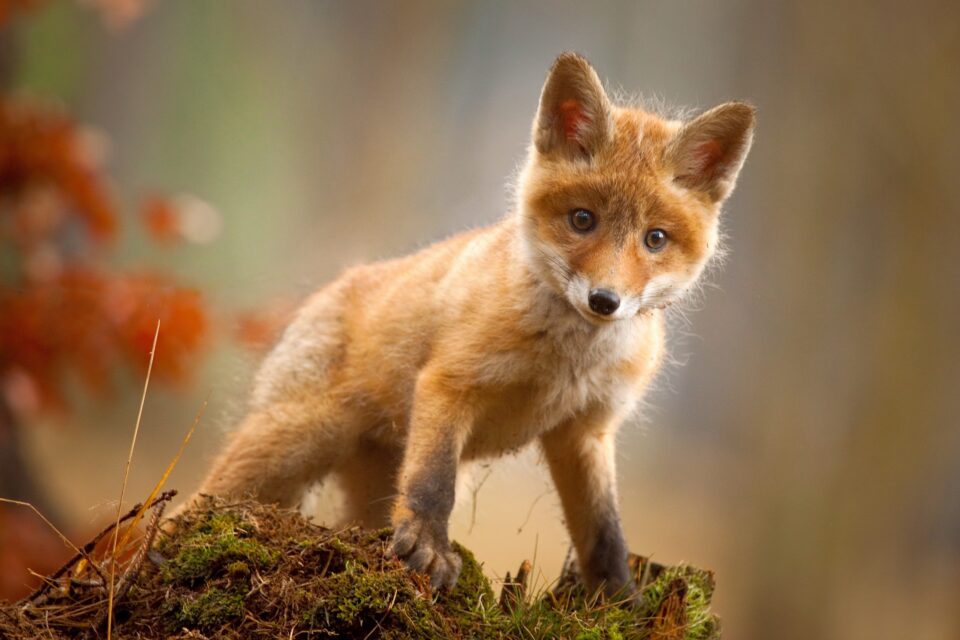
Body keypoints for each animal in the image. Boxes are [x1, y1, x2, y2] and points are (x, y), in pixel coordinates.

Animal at [187, 52, 755, 597]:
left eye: (655, 239)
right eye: (582, 220)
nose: (604, 300)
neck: (566, 362)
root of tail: (331, 288)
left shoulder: (585, 430)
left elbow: (604, 534)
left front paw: (620, 603)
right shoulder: (450, 383)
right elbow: (434, 483)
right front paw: (429, 549)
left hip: (364, 483)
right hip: (288, 445)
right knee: (193, 504)